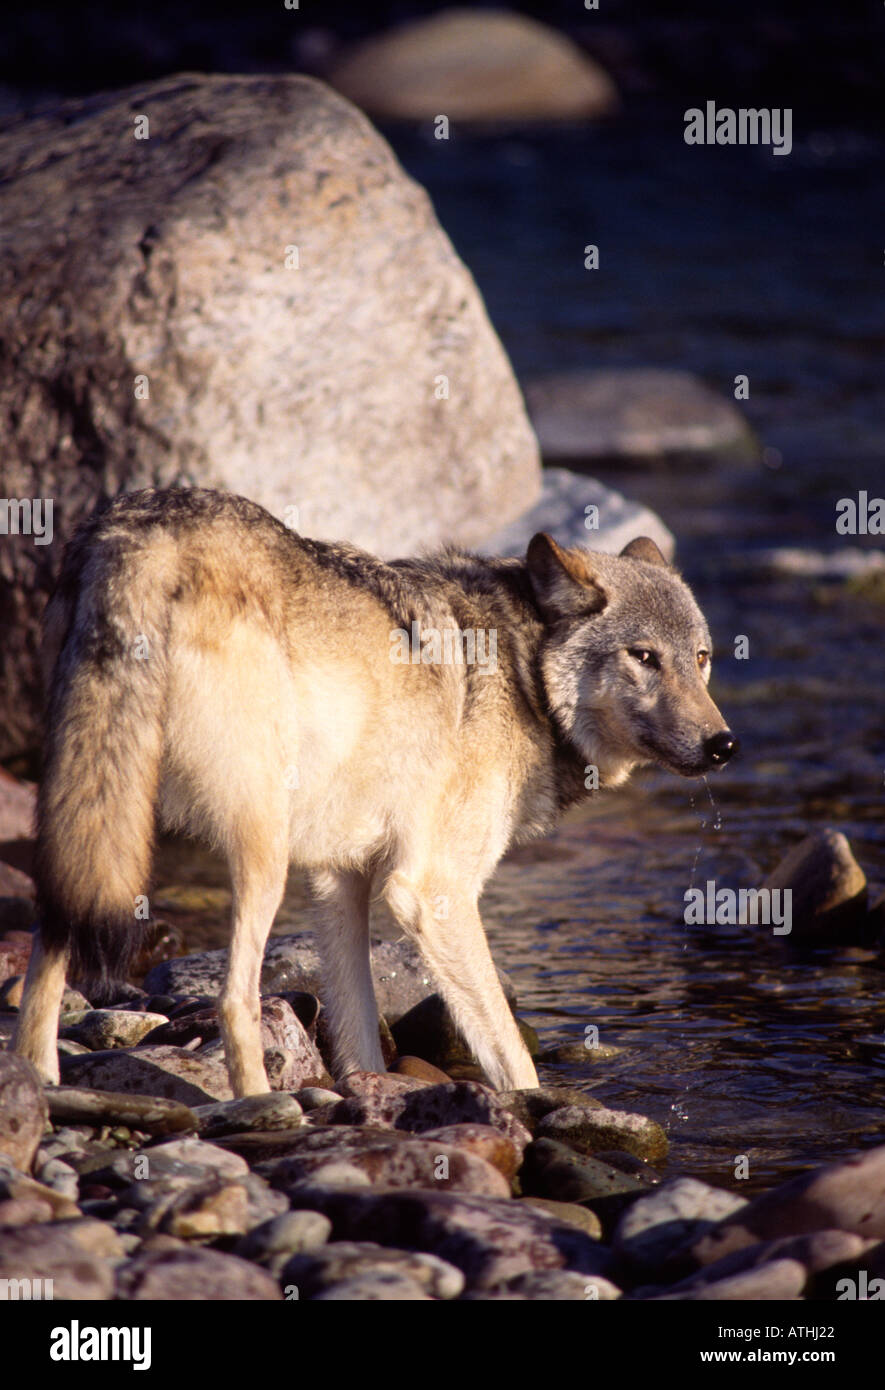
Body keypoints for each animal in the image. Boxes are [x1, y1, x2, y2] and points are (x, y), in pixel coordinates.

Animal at [13, 487, 736, 1095]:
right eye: (643, 657)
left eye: (701, 658)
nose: (723, 745)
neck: (524, 667)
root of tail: (143, 527)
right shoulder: (433, 893)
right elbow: (510, 1054)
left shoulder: (341, 879)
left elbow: (357, 1030)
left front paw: (367, 1094)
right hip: (261, 848)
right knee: (234, 999)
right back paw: (258, 1108)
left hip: (88, 809)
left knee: (49, 947)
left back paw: (37, 1081)